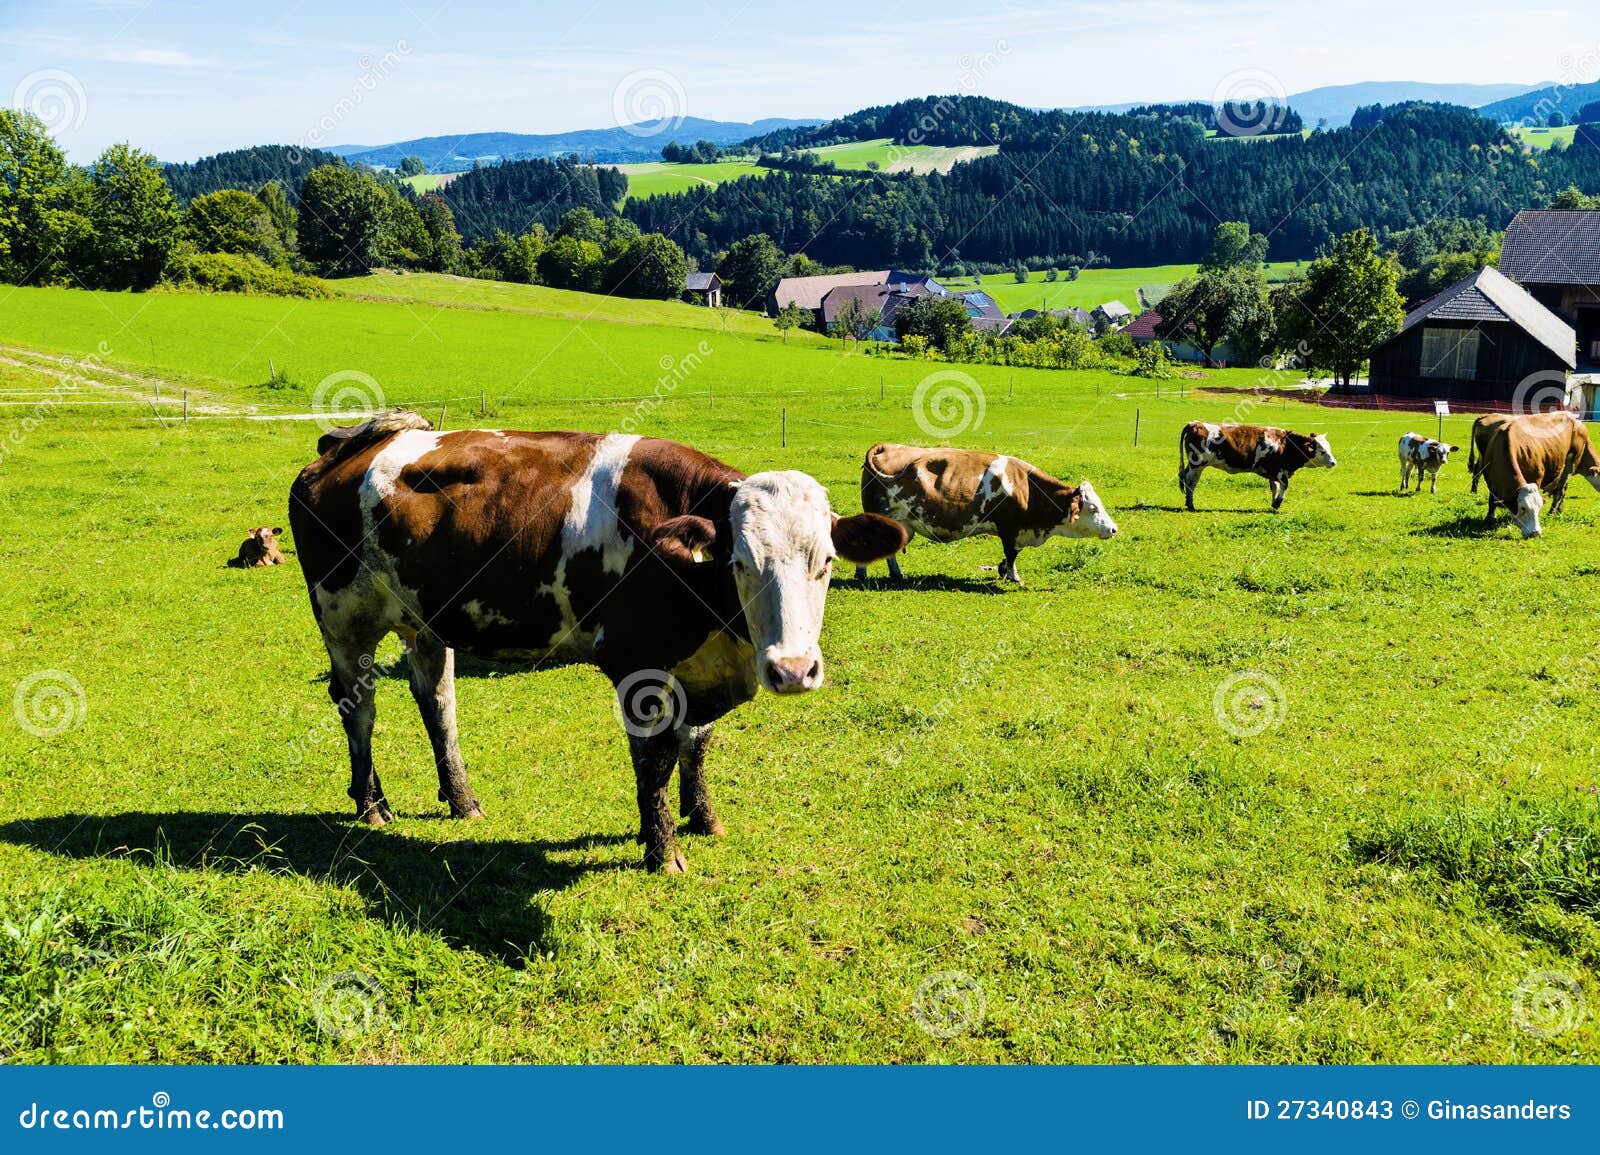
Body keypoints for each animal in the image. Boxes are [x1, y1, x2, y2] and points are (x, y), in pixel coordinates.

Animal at [288, 411, 906, 872]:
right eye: (739, 563)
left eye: (826, 562)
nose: (793, 670)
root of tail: (347, 451)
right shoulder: (636, 664)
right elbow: (655, 758)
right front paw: (661, 850)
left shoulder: (698, 665)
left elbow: (697, 742)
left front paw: (703, 817)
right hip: (344, 620)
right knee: (358, 707)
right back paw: (372, 805)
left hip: (426, 623)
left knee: (438, 703)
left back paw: (462, 800)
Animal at [856, 443, 1118, 585]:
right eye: (1093, 508)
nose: (1114, 529)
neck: (1027, 488)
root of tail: (886, 446)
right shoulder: (1010, 529)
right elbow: (1012, 554)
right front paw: (1013, 577)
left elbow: (1009, 557)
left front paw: (1003, 570)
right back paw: (861, 575)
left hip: (902, 525)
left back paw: (896, 574)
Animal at [1178, 422, 1336, 512]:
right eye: (1322, 451)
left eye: (1329, 448)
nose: (1334, 462)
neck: (1284, 444)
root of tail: (1195, 424)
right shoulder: (1279, 470)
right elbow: (1284, 485)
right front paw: (1277, 503)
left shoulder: (1273, 472)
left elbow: (1274, 487)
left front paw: (1273, 503)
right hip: (1197, 465)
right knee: (1191, 482)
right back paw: (1191, 505)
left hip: (1193, 465)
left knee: (1185, 478)